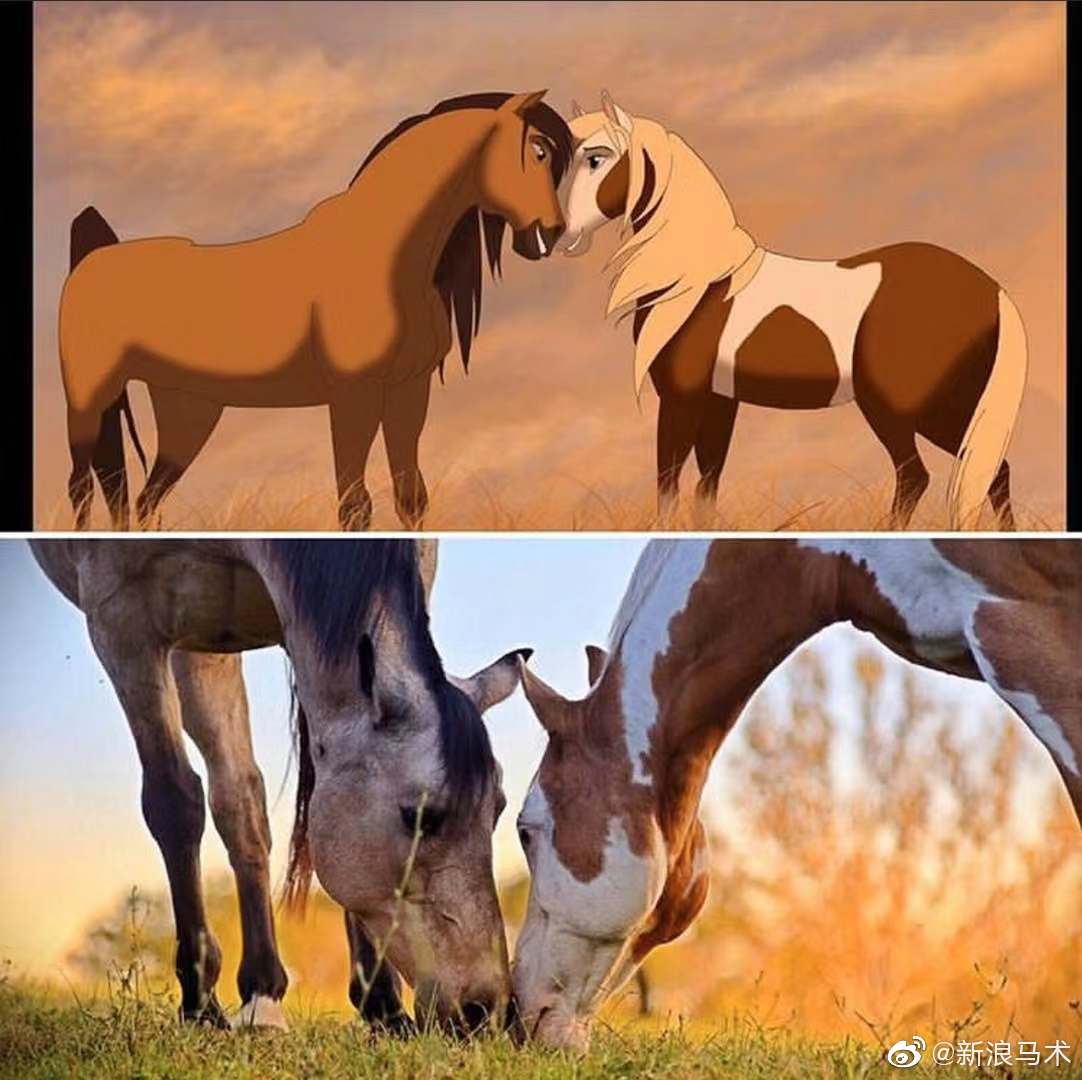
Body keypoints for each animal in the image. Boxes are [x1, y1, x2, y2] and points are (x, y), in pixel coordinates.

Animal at [30, 538, 531, 1034]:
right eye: (421, 817)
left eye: (499, 809)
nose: (485, 1009)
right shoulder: (124, 620)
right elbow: (173, 801)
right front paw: (199, 1003)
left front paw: (384, 1008)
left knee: (241, 798)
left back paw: (265, 994)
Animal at [59, 91, 572, 532]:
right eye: (538, 152)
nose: (548, 234)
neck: (385, 256)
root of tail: (90, 262)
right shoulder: (352, 395)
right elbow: (354, 506)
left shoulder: (409, 390)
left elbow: (411, 498)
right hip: (89, 400)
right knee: (82, 484)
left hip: (188, 412)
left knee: (144, 499)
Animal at [555, 92, 1028, 529]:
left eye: (596, 159)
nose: (565, 234)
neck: (699, 279)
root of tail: (991, 289)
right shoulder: (720, 399)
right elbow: (707, 483)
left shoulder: (681, 396)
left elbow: (668, 482)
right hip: (948, 403)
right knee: (992, 469)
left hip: (899, 408)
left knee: (917, 475)